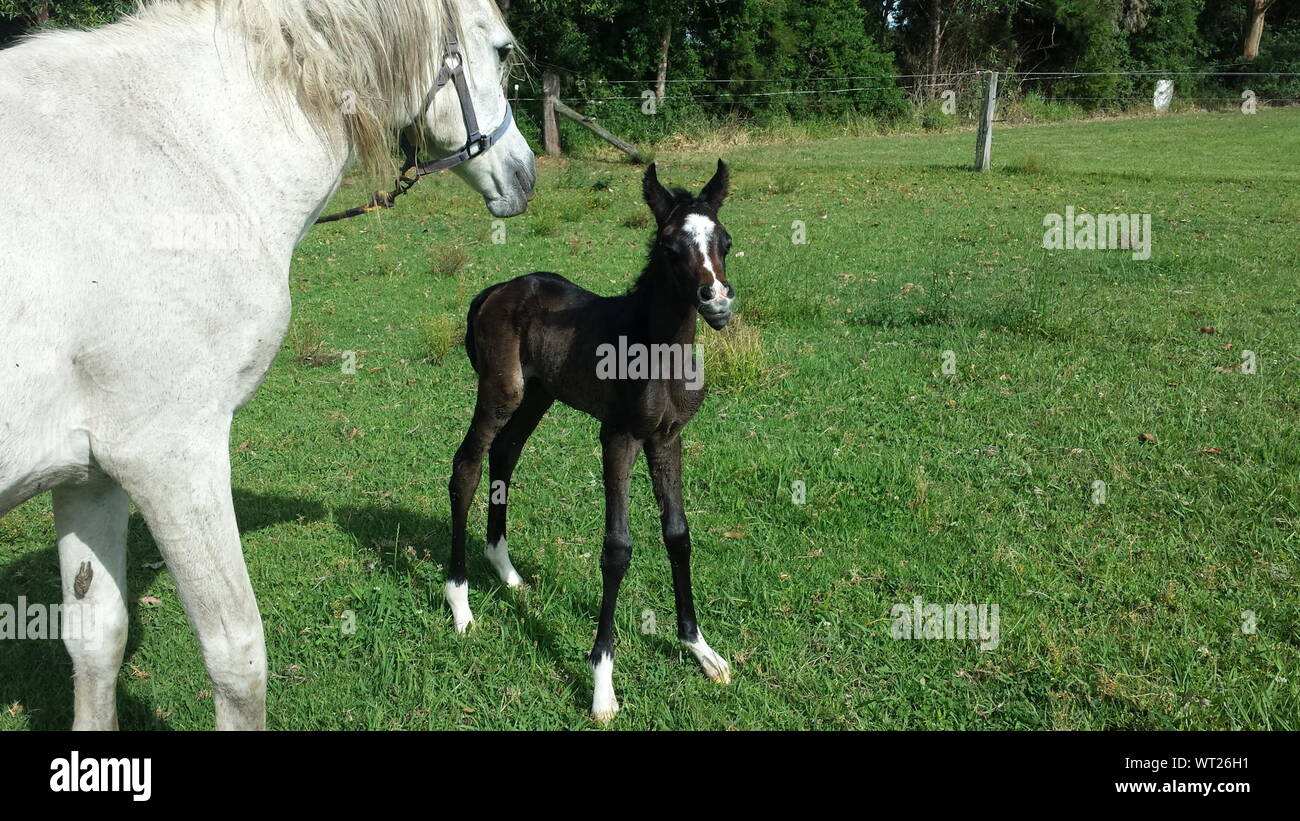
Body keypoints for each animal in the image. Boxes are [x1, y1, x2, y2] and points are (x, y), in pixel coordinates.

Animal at [0, 0, 534, 730]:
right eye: (503, 50)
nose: (525, 174)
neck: (183, 157)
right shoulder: (170, 456)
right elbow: (238, 658)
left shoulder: (91, 473)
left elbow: (96, 639)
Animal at [448, 160, 735, 721]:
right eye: (670, 247)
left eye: (725, 242)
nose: (717, 302)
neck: (656, 351)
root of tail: (496, 290)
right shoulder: (618, 437)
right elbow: (617, 549)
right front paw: (603, 683)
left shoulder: (667, 438)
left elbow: (678, 534)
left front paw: (700, 649)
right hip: (500, 392)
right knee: (466, 466)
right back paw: (460, 606)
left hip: (539, 393)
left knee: (505, 454)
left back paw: (505, 569)